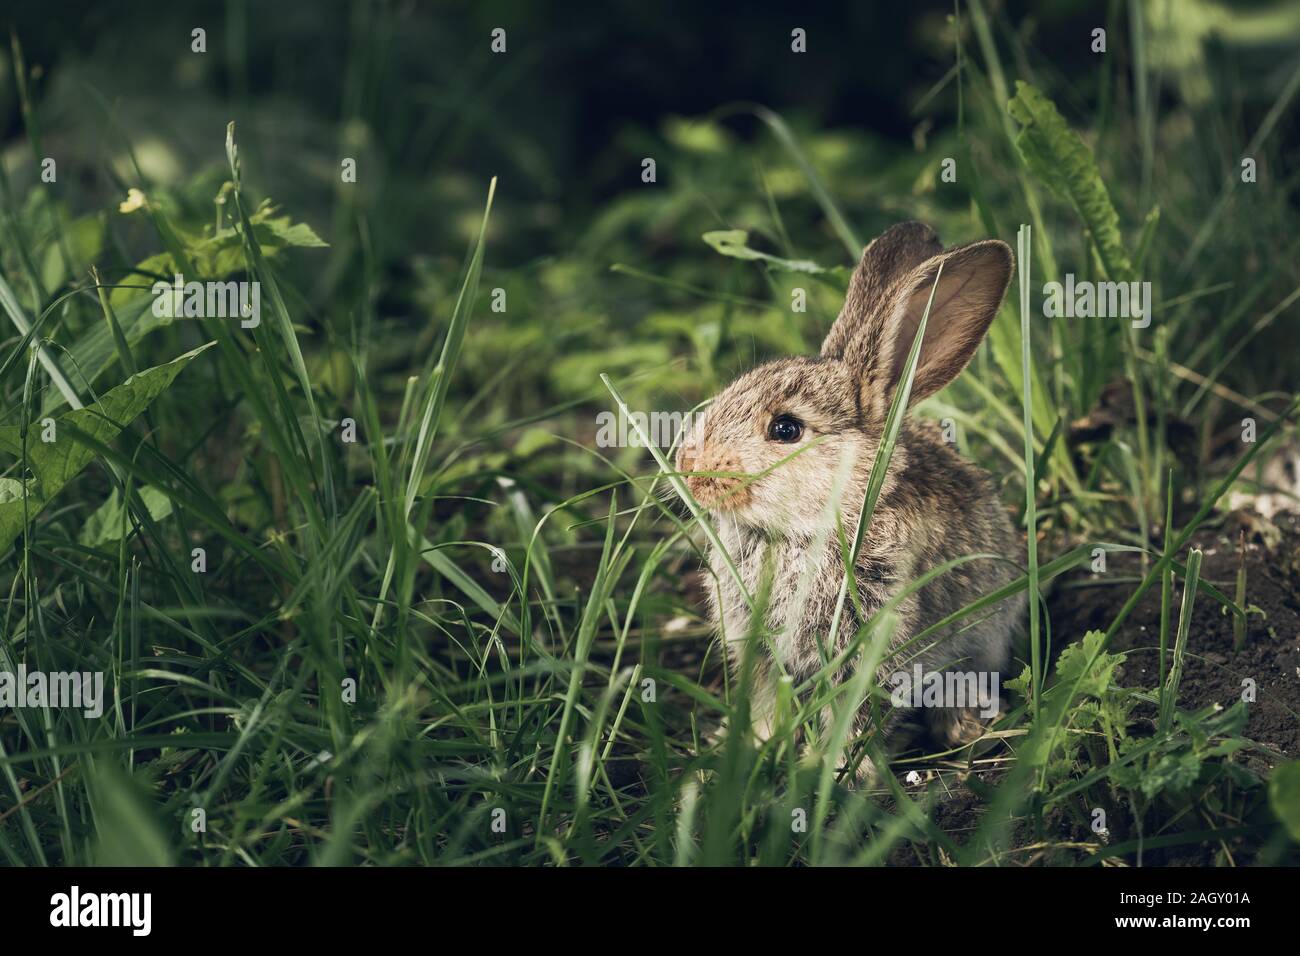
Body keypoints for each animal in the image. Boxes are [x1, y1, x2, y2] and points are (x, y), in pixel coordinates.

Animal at [675, 221, 1024, 779]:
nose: (690, 467)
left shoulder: (873, 646)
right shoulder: (763, 655)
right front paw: (752, 746)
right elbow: (766, 701)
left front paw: (835, 770)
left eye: (786, 429)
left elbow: (856, 712)